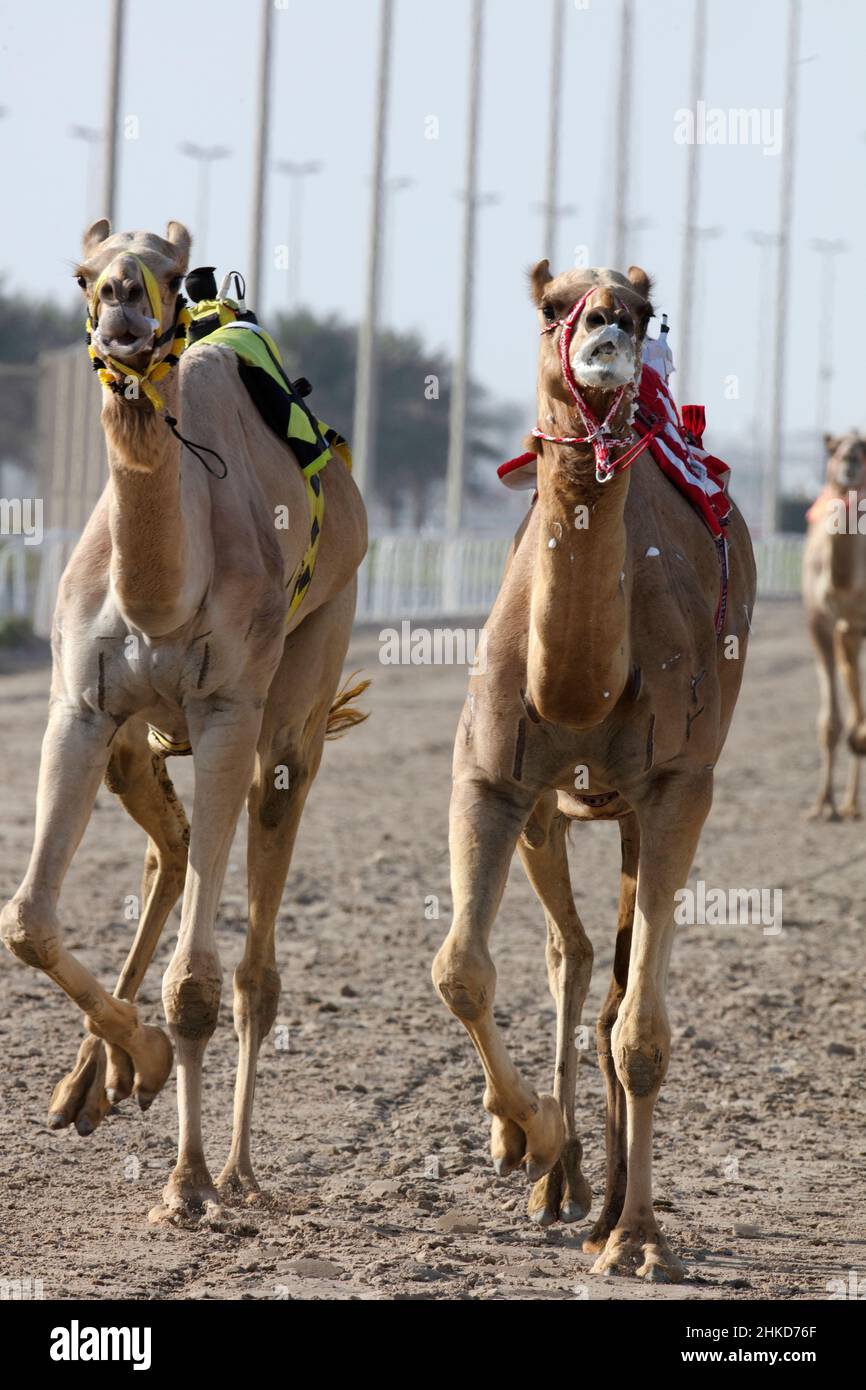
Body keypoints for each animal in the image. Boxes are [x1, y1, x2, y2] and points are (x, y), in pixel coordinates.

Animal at [0, 220, 367, 1221]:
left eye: (164, 271)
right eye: (82, 273)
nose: (123, 299)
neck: (163, 592)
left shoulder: (229, 709)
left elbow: (197, 986)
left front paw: (188, 1180)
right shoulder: (80, 709)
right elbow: (27, 922)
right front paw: (136, 1065)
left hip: (304, 681)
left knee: (252, 963)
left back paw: (234, 1167)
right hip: (140, 741)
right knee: (167, 846)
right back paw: (92, 1083)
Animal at [432, 261, 756, 1281]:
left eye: (645, 310)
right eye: (551, 304)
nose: (608, 329)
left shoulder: (679, 788)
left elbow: (642, 1030)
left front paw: (641, 1239)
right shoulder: (491, 778)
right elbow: (460, 969)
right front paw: (526, 1138)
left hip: (636, 810)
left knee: (612, 987)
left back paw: (611, 1208)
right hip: (555, 810)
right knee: (569, 958)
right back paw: (564, 1182)